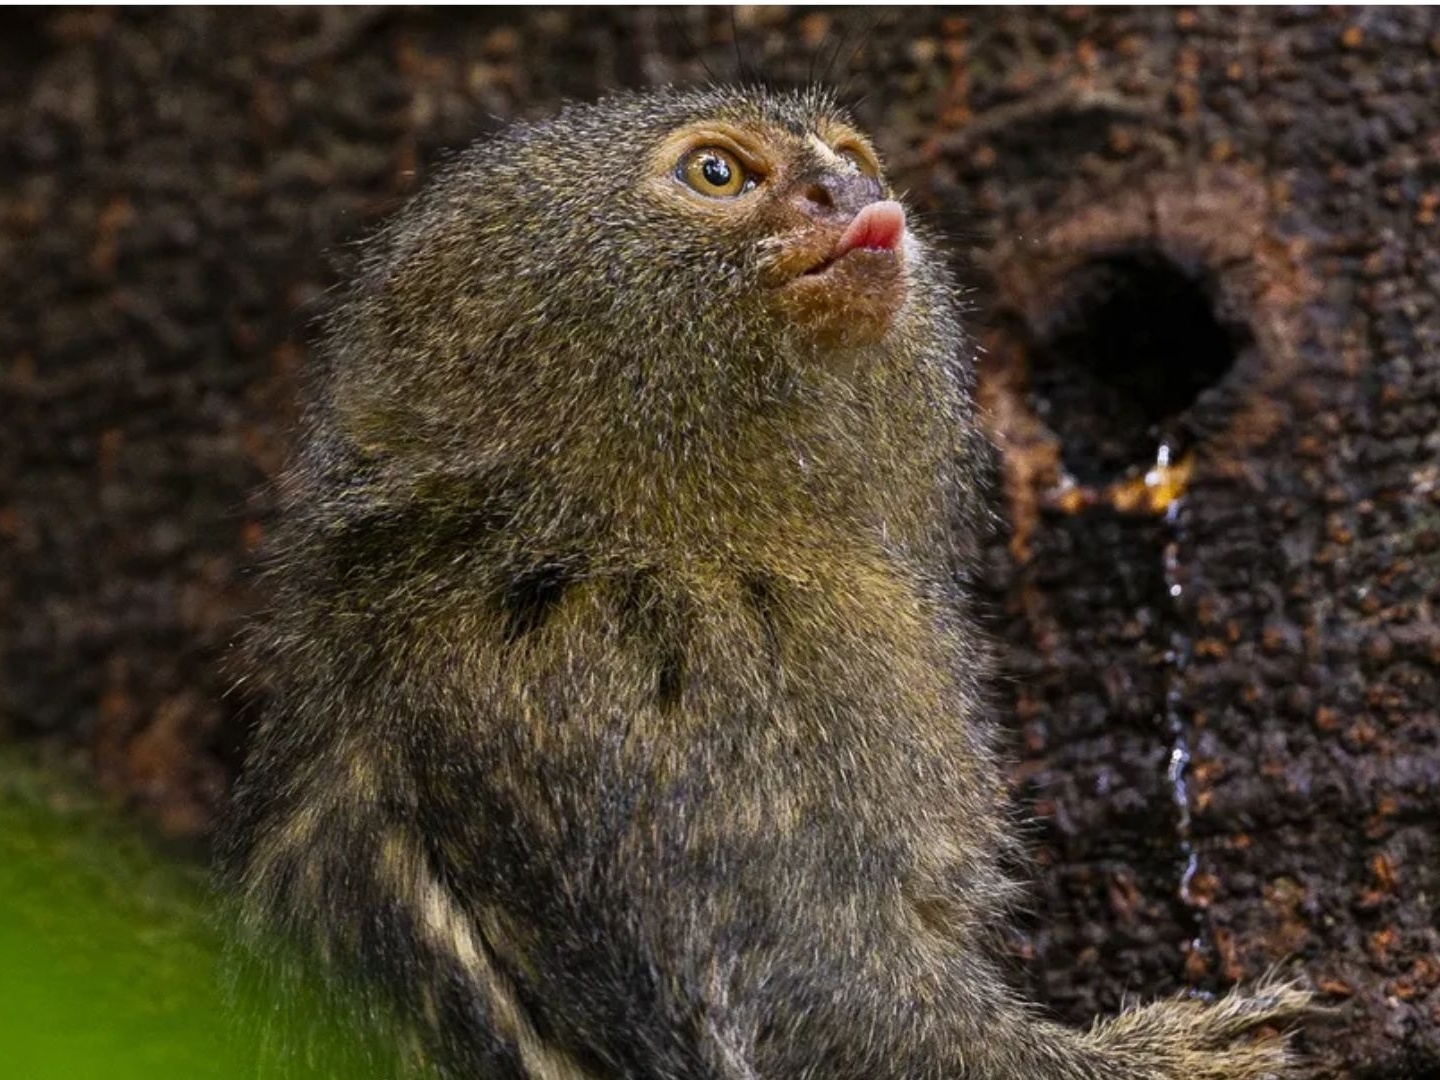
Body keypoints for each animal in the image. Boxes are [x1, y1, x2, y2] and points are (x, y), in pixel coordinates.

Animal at [222, 85, 1309, 1079]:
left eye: (852, 158)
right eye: (717, 174)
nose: (855, 194)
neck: (646, 523)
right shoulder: (659, 696)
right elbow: (807, 998)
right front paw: (1163, 1059)